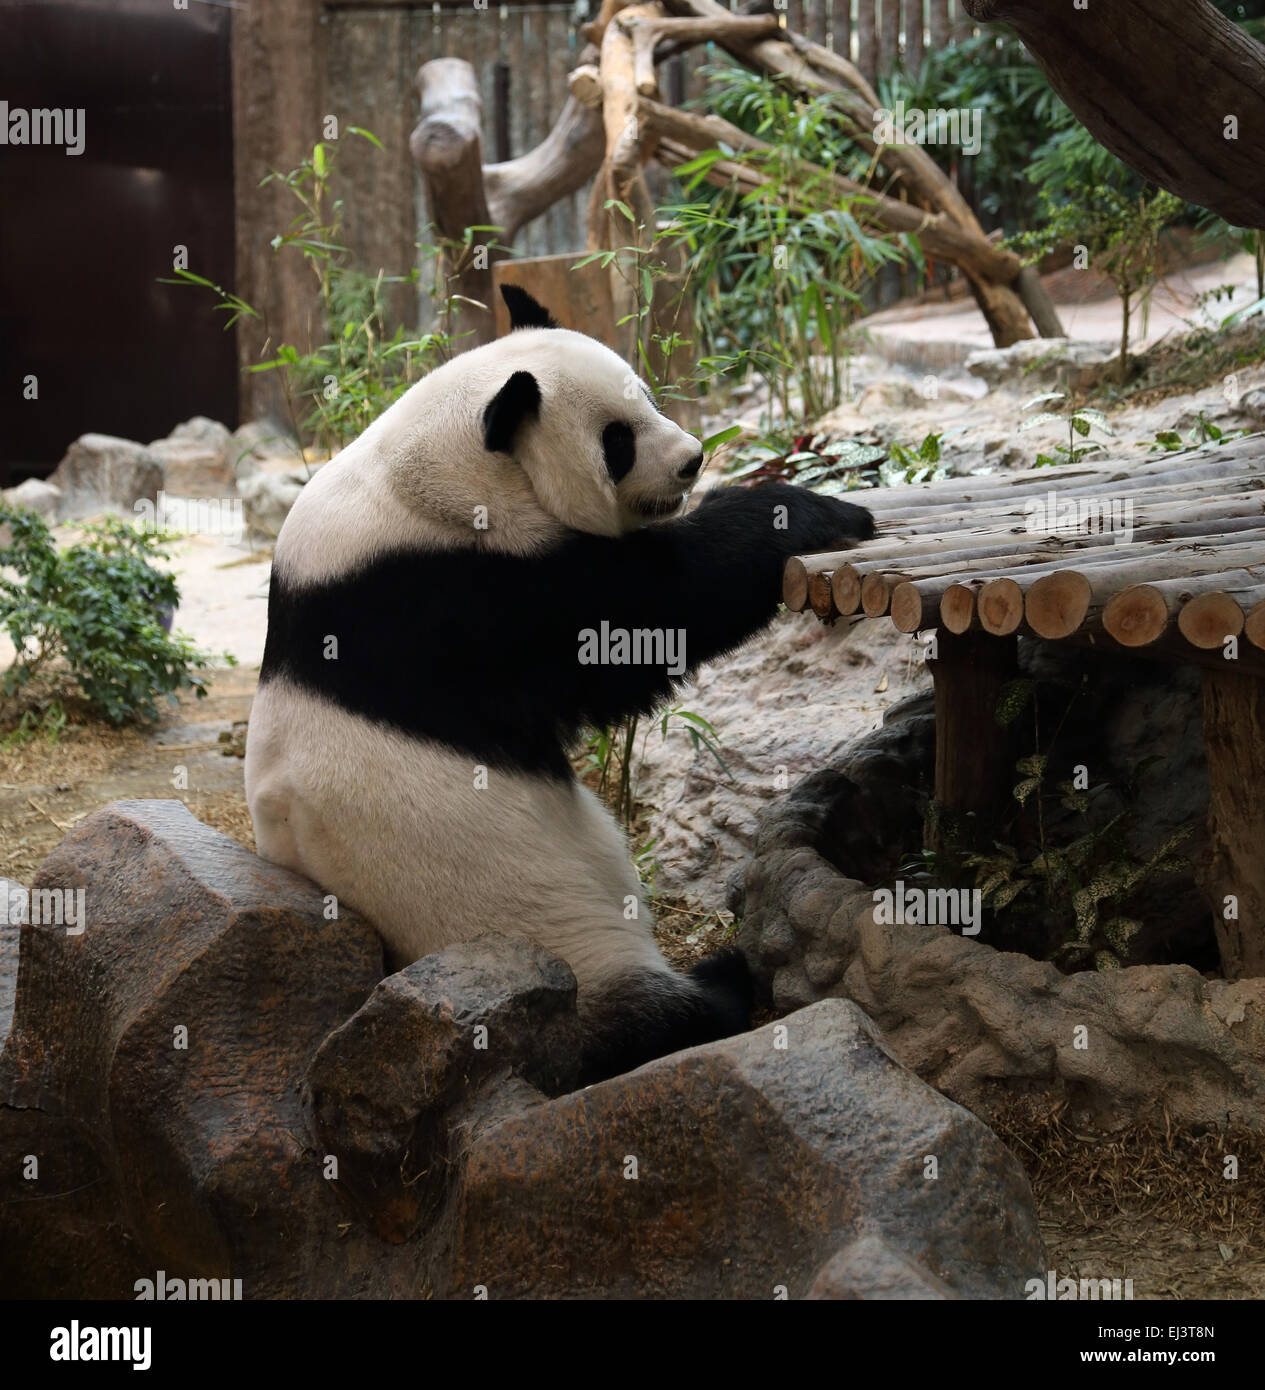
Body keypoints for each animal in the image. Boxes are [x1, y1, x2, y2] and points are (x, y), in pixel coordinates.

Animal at [245, 285, 874, 1086]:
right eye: (617, 440)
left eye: (647, 394)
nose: (691, 460)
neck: (428, 472)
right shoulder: (450, 593)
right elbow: (640, 616)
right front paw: (812, 509)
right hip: (544, 944)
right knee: (633, 1016)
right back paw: (718, 983)